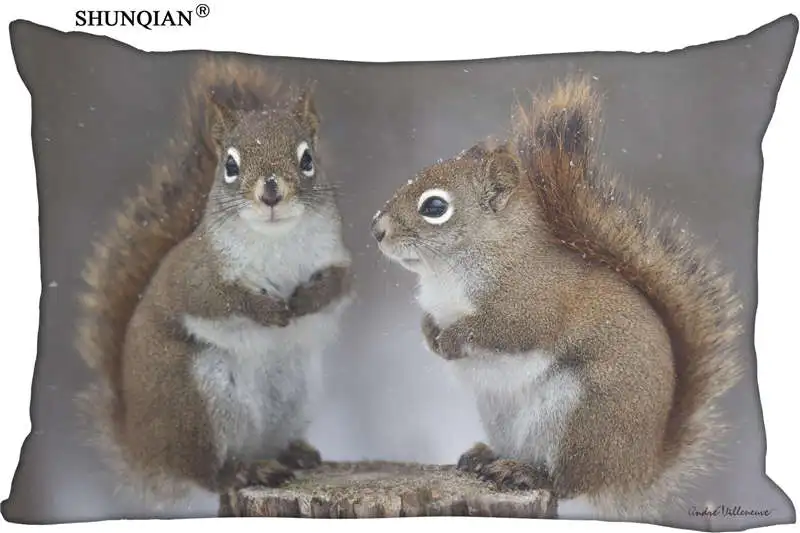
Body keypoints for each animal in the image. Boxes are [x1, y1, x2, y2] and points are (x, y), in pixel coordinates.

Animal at [74, 55, 353, 505]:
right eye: (231, 165)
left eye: (308, 159)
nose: (270, 192)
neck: (276, 241)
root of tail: (144, 448)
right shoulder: (195, 275)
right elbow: (217, 300)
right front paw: (267, 309)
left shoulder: (337, 256)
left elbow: (340, 287)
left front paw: (306, 300)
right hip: (198, 404)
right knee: (208, 472)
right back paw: (244, 471)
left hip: (297, 394)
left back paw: (293, 455)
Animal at [370, 77, 743, 521]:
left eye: (435, 206)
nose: (376, 229)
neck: (446, 273)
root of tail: (638, 470)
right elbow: (431, 322)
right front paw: (431, 335)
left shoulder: (534, 300)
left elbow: (504, 330)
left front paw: (455, 338)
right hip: (502, 414)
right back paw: (486, 458)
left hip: (582, 420)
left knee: (568, 481)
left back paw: (526, 473)